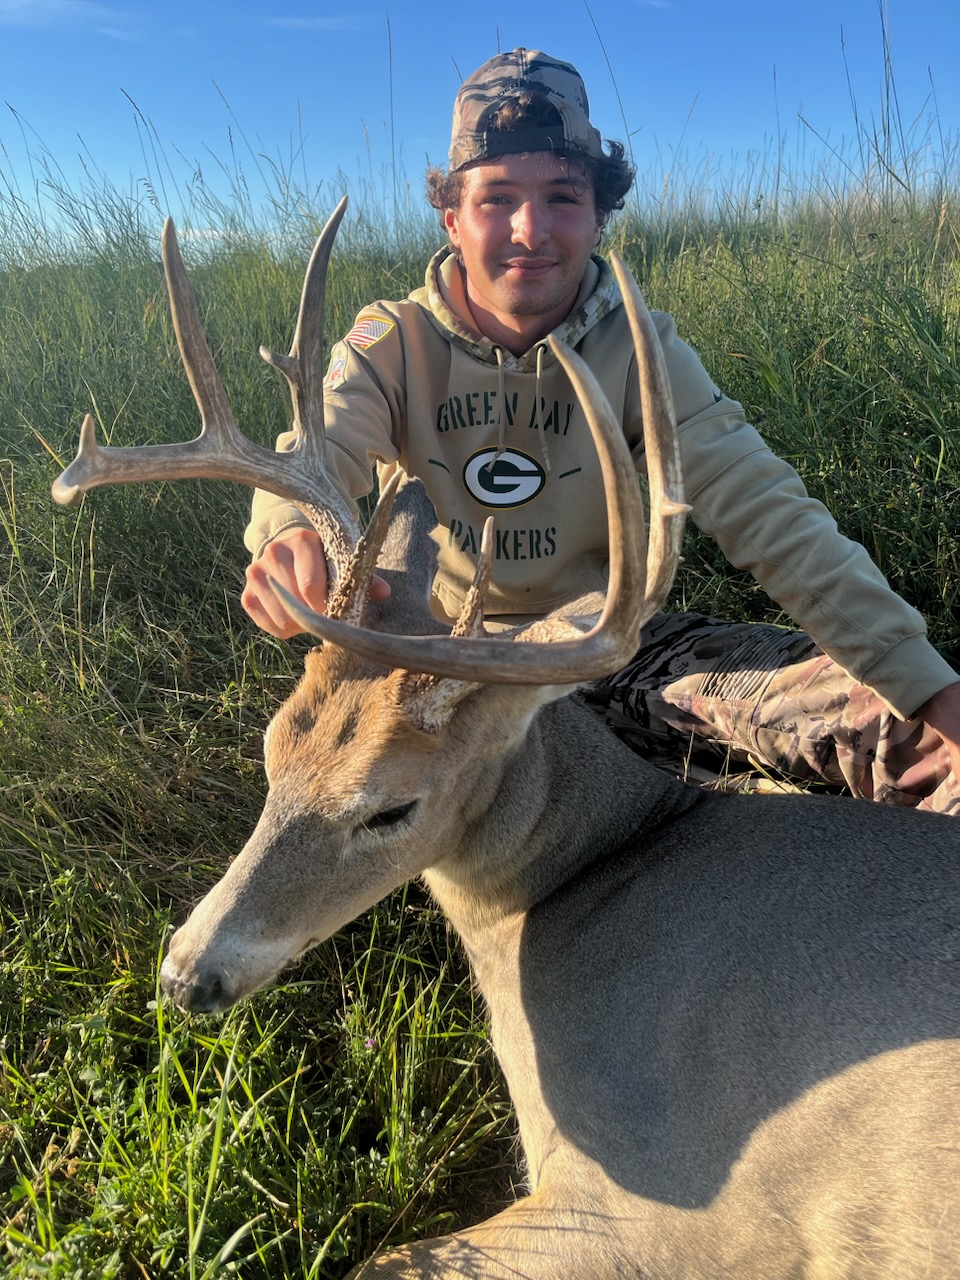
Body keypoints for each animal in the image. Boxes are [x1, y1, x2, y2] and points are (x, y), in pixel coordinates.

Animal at [53, 198, 960, 1280]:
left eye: (390, 807)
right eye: (271, 753)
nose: (187, 976)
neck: (611, 858)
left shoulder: (660, 1195)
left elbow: (379, 1259)